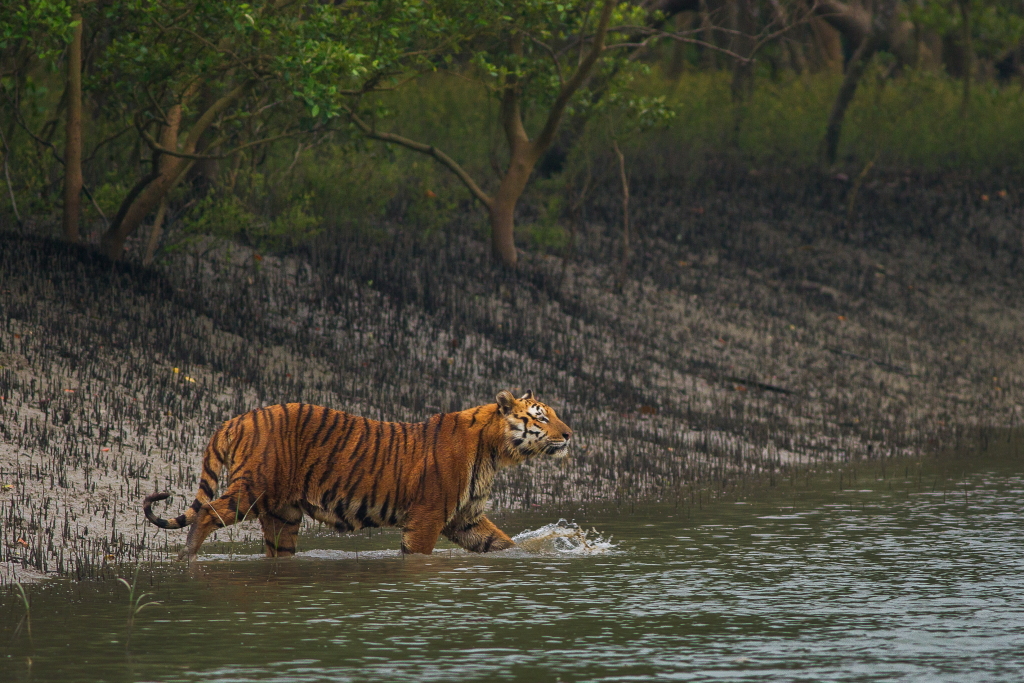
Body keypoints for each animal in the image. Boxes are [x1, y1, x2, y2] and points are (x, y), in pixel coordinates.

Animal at [142, 390, 572, 560]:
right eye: (540, 417)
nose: (570, 434)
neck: (495, 451)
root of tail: (237, 418)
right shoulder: (428, 517)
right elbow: (418, 557)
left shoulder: (465, 519)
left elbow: (503, 543)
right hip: (250, 489)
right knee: (205, 512)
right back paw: (187, 559)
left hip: (282, 515)